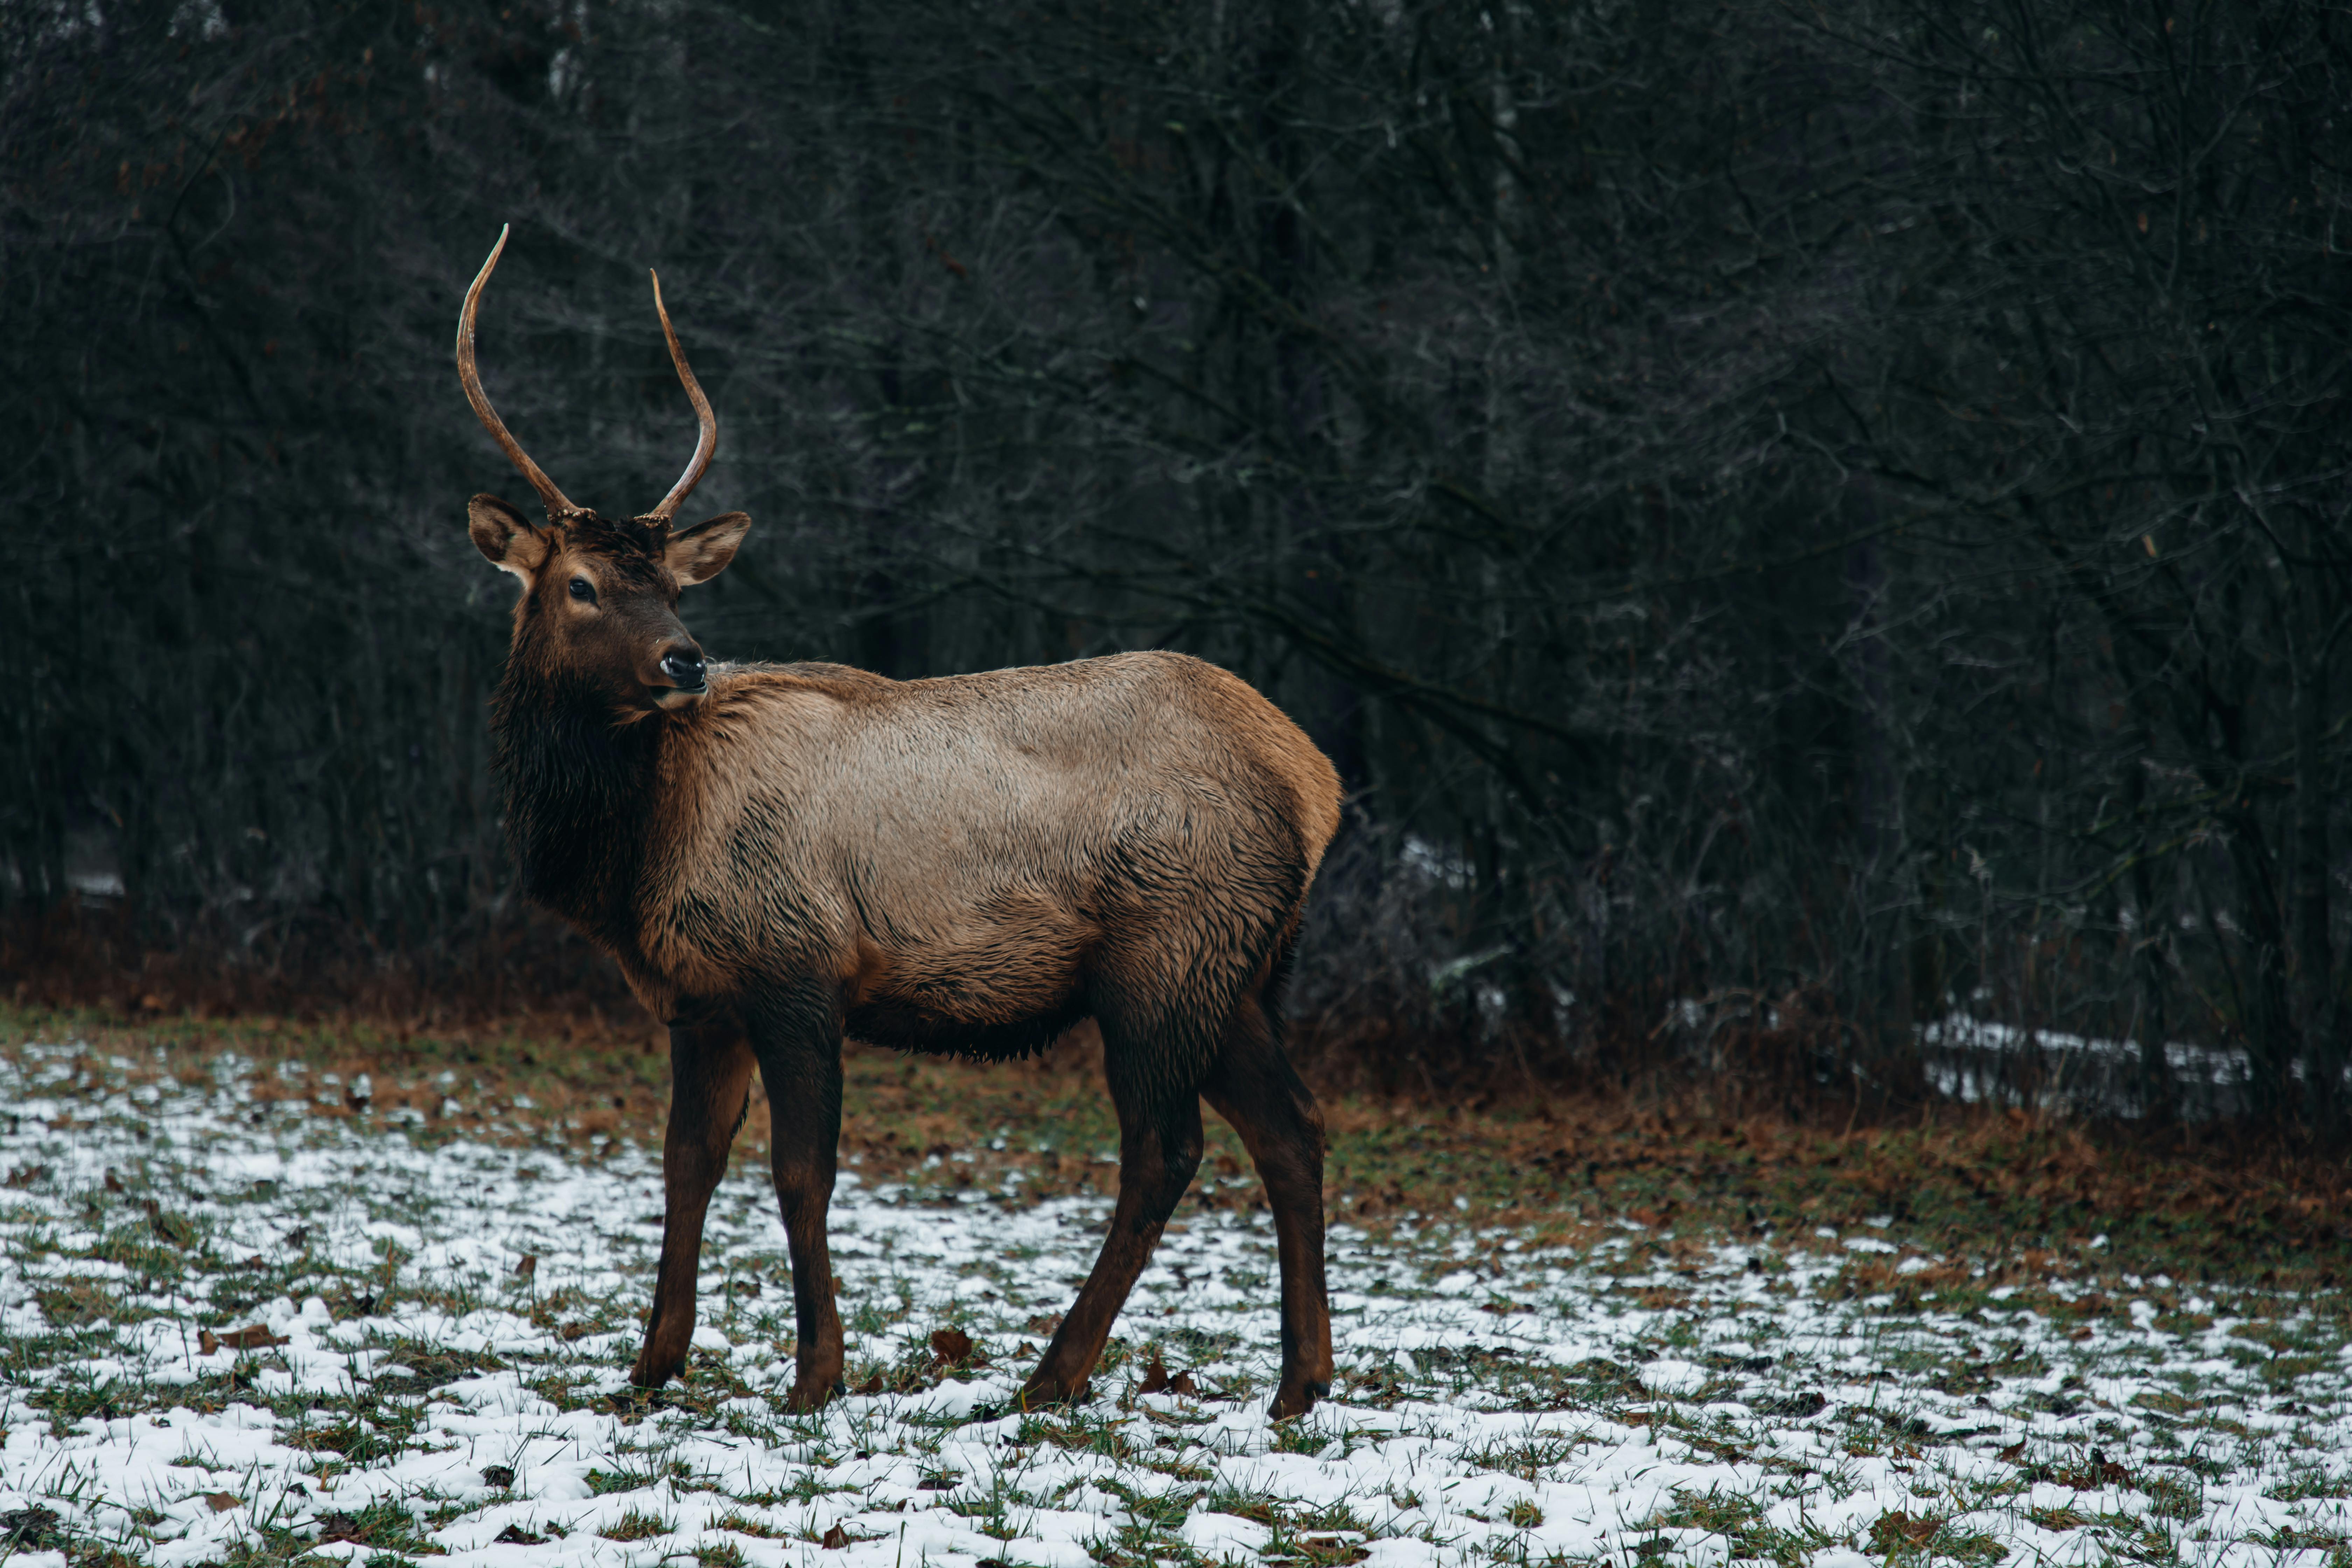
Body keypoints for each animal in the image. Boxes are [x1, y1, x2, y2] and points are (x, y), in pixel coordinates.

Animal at [452, 228, 1343, 1418]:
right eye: (582, 584)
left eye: (672, 588)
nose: (684, 659)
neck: (632, 848)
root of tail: (1314, 780)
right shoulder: (701, 996)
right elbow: (685, 1165)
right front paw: (649, 1365)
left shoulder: (795, 964)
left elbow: (802, 1172)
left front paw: (816, 1372)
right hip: (1239, 973)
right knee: (1293, 1129)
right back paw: (1299, 1382)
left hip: (1164, 956)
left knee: (1166, 1147)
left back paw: (1054, 1373)